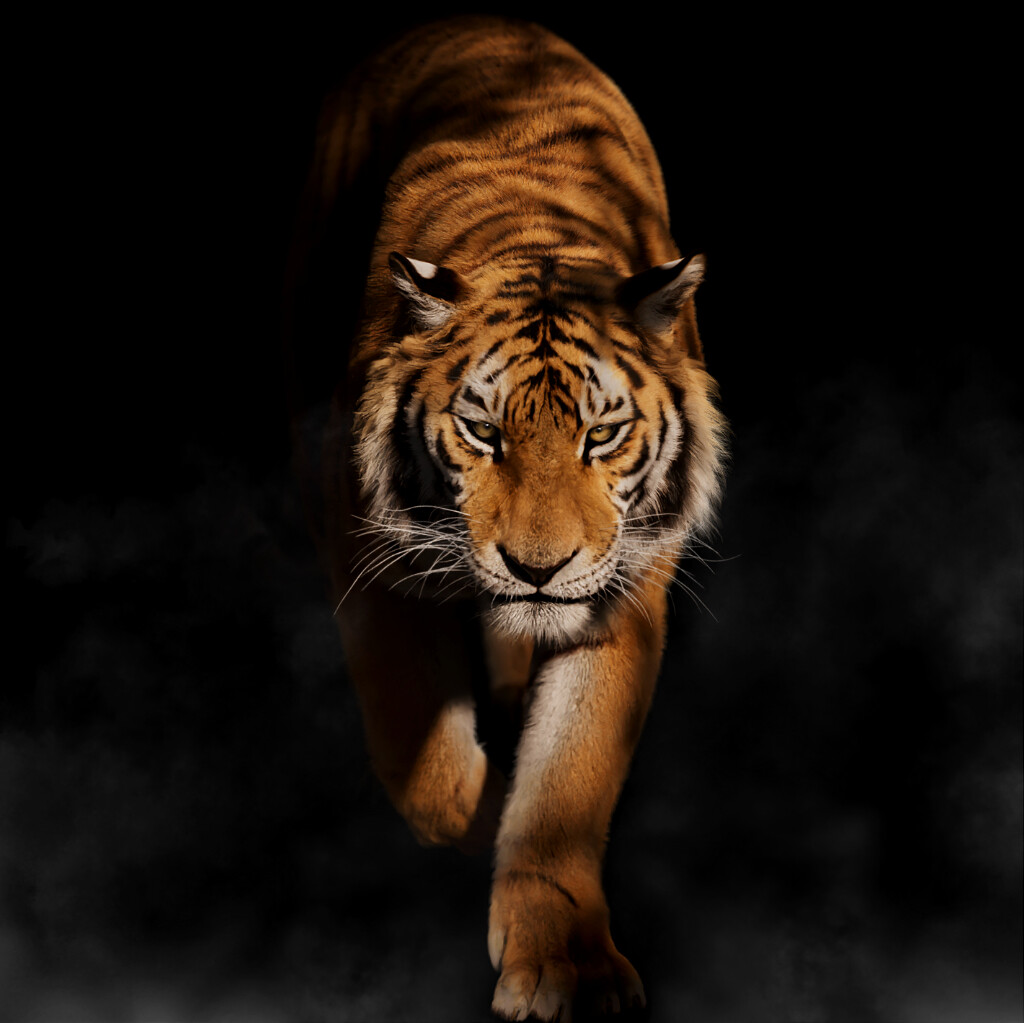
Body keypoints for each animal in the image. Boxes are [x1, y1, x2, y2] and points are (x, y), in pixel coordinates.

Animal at [285, 15, 727, 1021]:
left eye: (603, 434)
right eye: (482, 431)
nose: (538, 567)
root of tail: (471, 19)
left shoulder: (623, 590)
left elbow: (568, 781)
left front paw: (565, 965)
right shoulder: (365, 555)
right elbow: (424, 759)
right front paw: (481, 811)